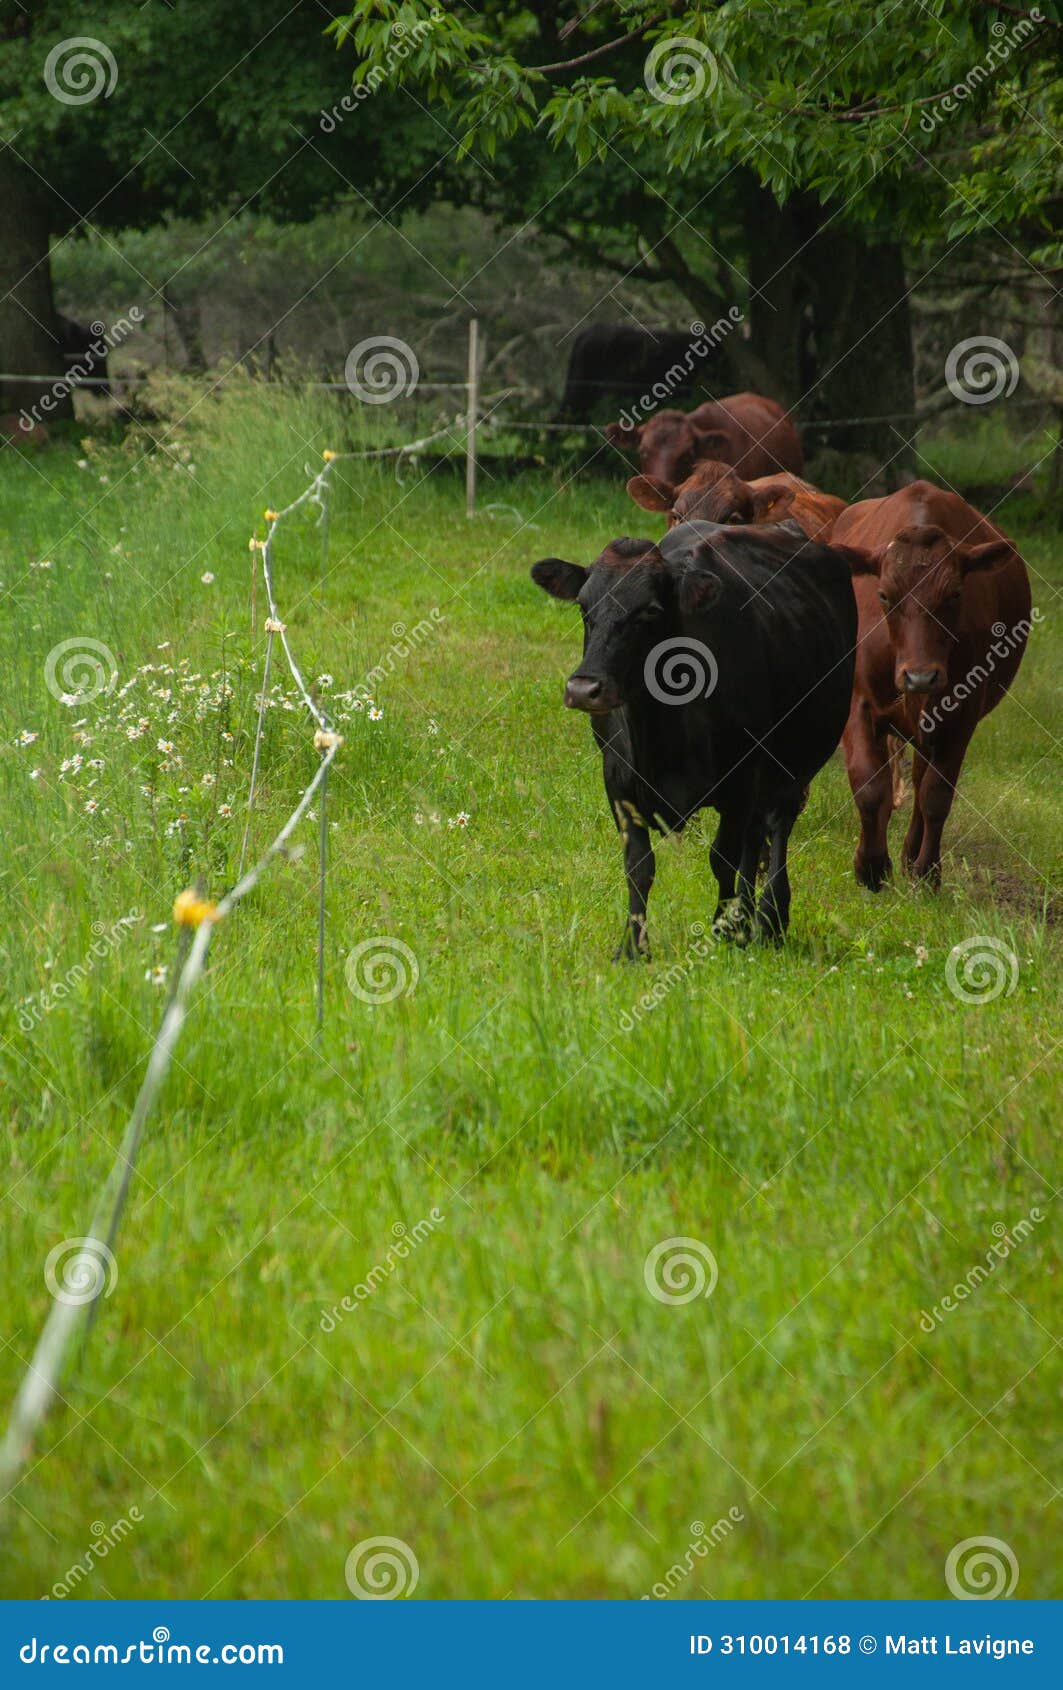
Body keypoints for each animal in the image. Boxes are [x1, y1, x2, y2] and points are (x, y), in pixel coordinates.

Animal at [530, 521, 857, 955]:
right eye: (584, 608)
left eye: (650, 611)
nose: (584, 689)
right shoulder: (616, 779)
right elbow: (638, 864)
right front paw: (632, 947)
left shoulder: (741, 778)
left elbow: (724, 859)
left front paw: (724, 931)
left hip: (795, 764)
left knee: (772, 831)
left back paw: (768, 918)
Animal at [832, 480, 1031, 890]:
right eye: (884, 596)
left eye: (954, 594)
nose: (920, 676)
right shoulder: (858, 702)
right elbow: (869, 785)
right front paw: (870, 865)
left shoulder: (963, 713)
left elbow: (936, 796)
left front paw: (926, 872)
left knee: (922, 781)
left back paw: (911, 855)